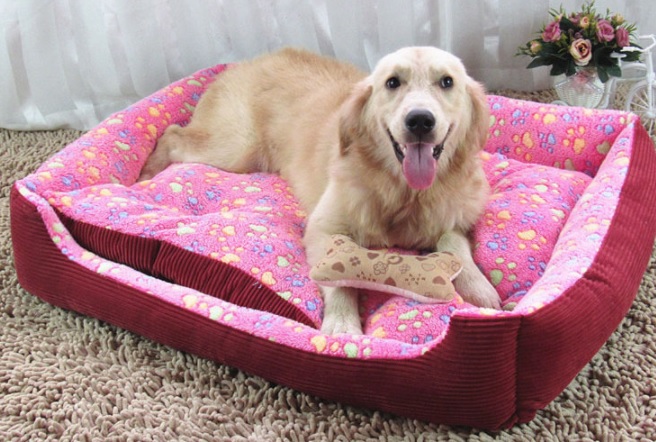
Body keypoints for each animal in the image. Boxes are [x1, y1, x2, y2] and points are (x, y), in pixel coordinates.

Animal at [139, 47, 501, 335]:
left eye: (447, 82)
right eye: (392, 82)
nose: (420, 121)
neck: (403, 191)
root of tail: (244, 63)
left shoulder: (455, 219)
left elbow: (454, 245)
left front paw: (480, 289)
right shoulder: (324, 228)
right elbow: (338, 277)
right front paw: (342, 324)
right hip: (234, 149)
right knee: (171, 133)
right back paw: (145, 174)